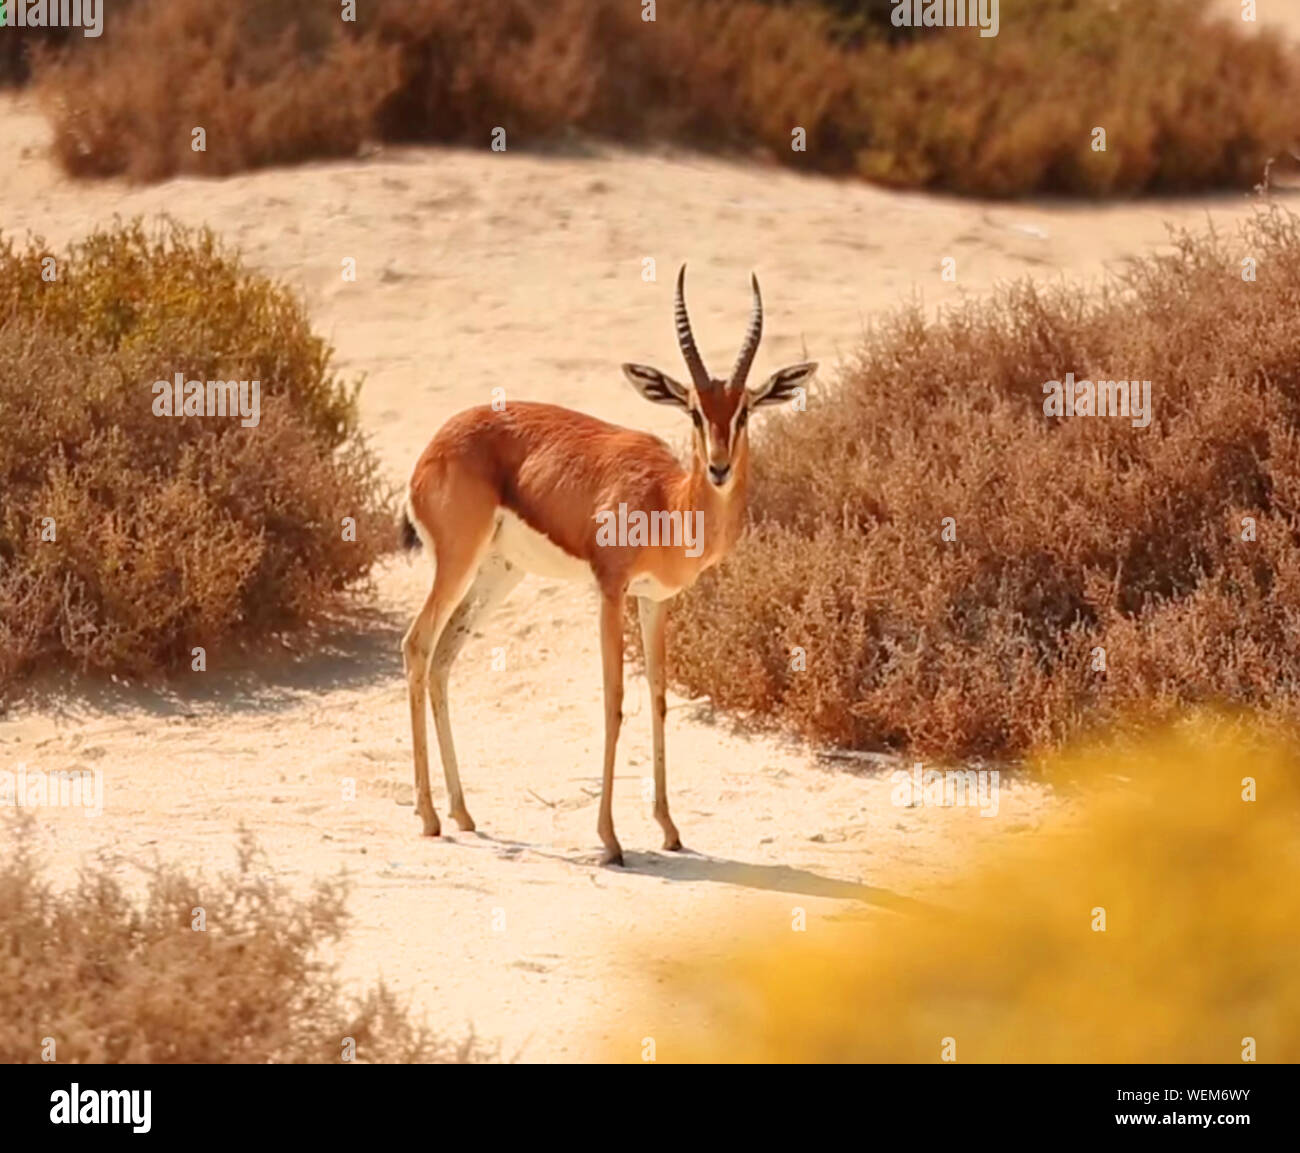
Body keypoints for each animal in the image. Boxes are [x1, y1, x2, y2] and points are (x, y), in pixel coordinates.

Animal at [400, 266, 816, 865]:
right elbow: (615, 701)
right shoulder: (610, 590)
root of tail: (431, 449)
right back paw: (430, 817)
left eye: (744, 410)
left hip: (499, 574)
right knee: (416, 645)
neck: (668, 502)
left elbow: (660, 699)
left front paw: (669, 829)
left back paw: (462, 813)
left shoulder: (655, 600)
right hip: (458, 564)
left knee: (442, 659)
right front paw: (611, 840)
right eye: (693, 410)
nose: (718, 468)